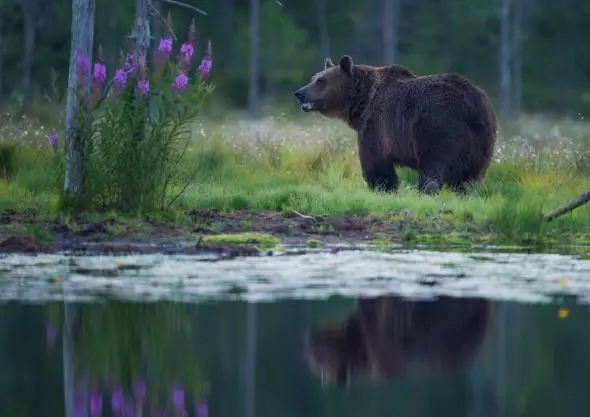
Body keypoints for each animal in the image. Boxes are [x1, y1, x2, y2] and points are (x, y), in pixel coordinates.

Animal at [294, 54, 498, 195]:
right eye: (313, 78)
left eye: (321, 81)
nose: (299, 92)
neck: (362, 103)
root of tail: (471, 104)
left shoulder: (377, 125)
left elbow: (375, 162)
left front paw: (382, 187)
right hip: (483, 140)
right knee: (471, 176)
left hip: (437, 124)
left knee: (435, 163)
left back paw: (428, 188)